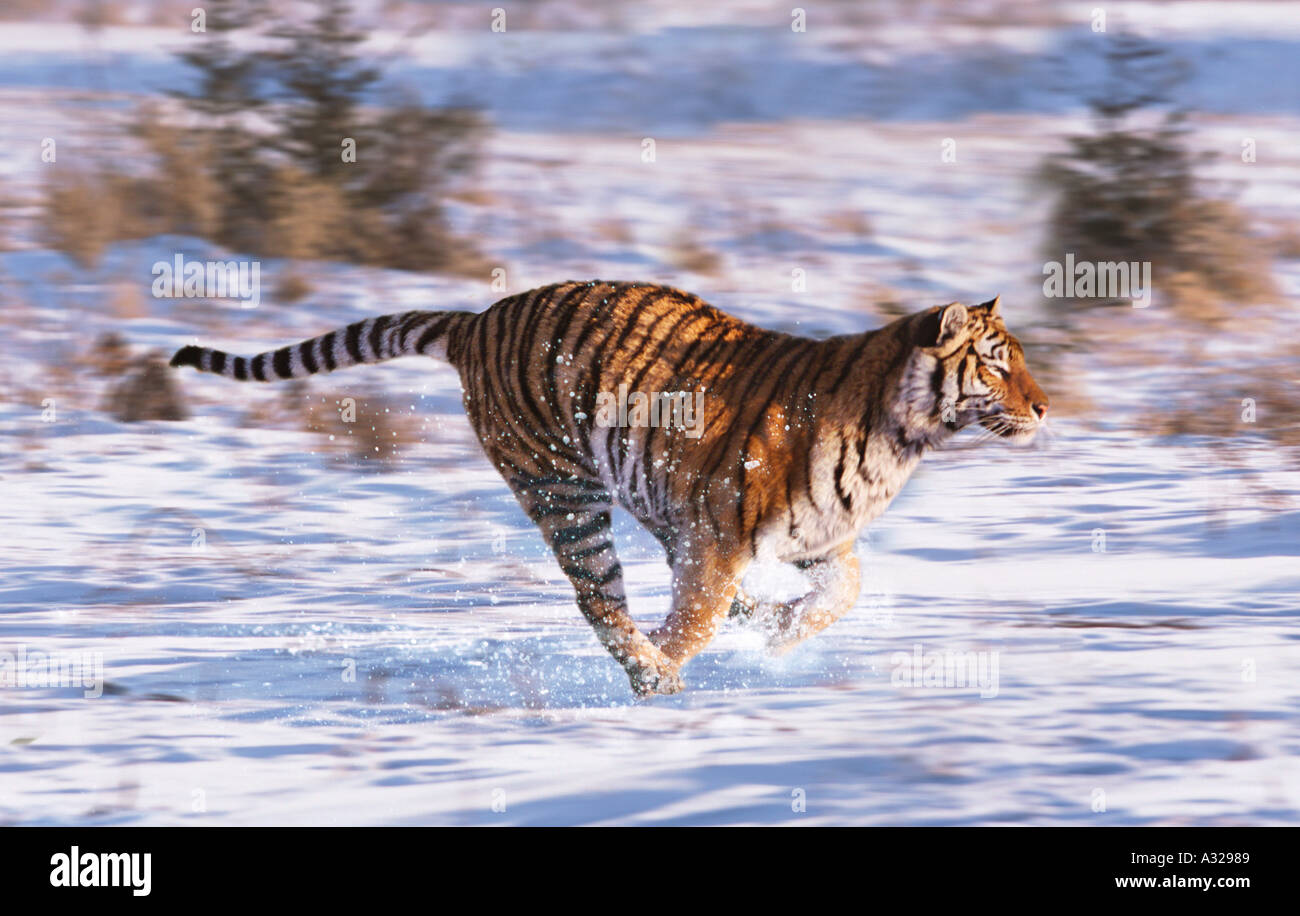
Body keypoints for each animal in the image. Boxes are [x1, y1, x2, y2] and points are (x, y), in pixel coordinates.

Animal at [170, 281, 1048, 696]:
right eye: (997, 363)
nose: (1045, 407)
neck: (902, 438)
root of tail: (478, 318)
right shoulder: (719, 533)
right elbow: (697, 618)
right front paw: (688, 661)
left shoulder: (813, 536)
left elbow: (842, 592)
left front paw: (775, 635)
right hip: (565, 491)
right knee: (598, 600)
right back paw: (650, 674)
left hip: (646, 501)